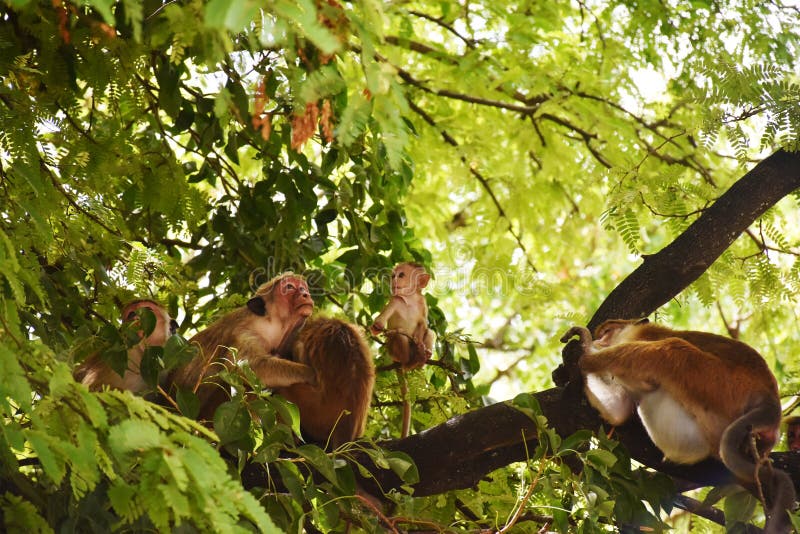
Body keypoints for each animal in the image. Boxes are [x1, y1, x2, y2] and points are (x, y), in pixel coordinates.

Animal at [166, 273, 318, 421]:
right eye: (289, 287)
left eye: (303, 288)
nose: (306, 294)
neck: (267, 325)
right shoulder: (244, 335)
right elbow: (247, 368)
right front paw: (309, 373)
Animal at [561, 319, 796, 533]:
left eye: (607, 332)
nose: (598, 341)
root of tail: (769, 400)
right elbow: (619, 412)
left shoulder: (645, 336)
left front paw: (585, 350)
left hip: (721, 386)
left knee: (672, 348)